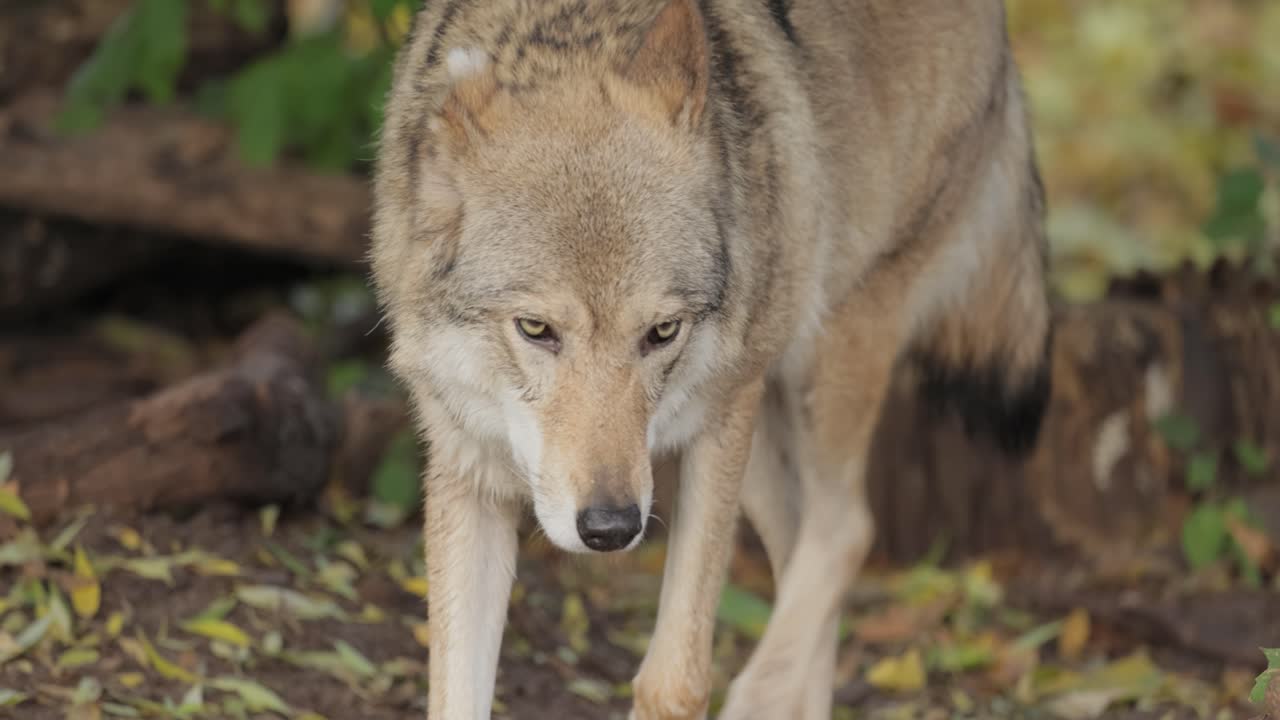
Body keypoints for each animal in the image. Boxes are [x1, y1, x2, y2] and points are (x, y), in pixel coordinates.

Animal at [369, 0, 1052, 717]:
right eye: (536, 329)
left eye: (663, 331)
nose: (610, 528)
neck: (575, 37)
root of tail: (1004, 30)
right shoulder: (467, 468)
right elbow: (455, 694)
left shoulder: (719, 423)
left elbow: (675, 680)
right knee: (804, 545)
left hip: (821, 353)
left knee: (848, 529)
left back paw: (761, 692)